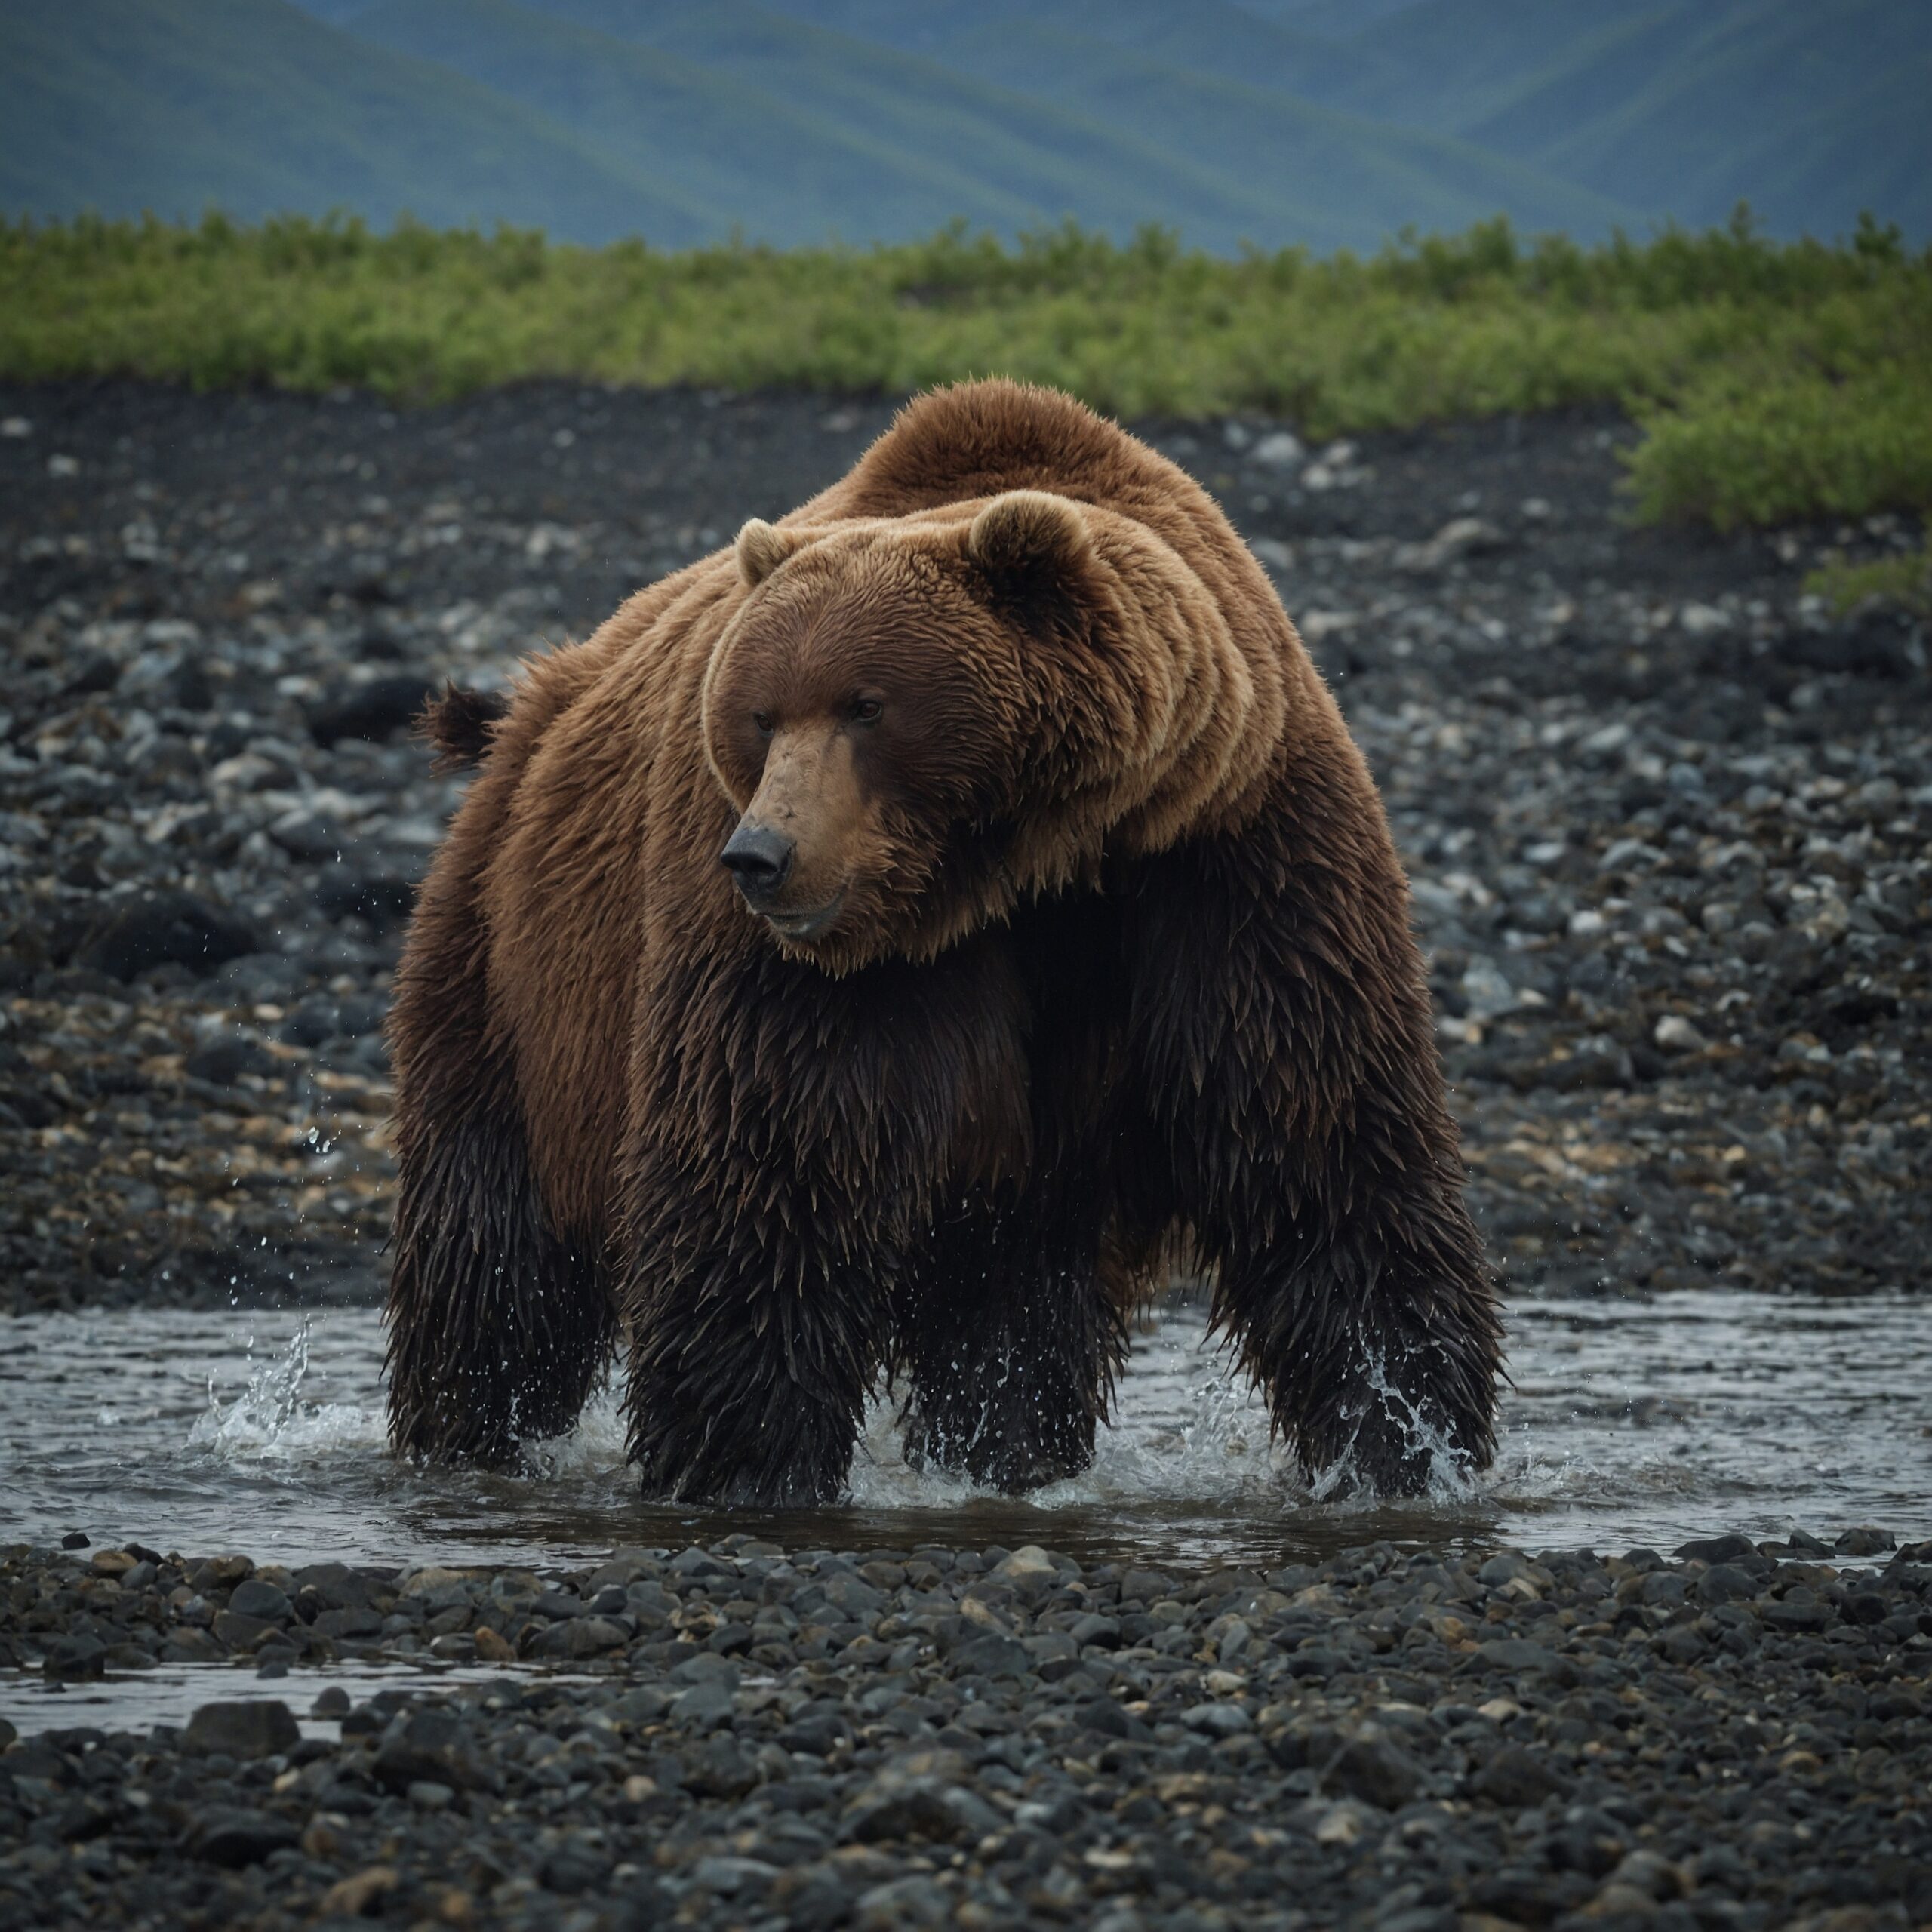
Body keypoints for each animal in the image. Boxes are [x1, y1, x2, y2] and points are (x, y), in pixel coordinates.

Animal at [385, 378, 1501, 1505]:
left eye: (866, 705)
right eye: (759, 713)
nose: (760, 856)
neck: (1037, 863)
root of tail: (521, 713)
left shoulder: (1230, 860)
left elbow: (1320, 1138)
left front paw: (1408, 1437)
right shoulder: (820, 963)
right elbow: (773, 1165)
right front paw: (746, 1457)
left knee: (1009, 1293)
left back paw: (1007, 1453)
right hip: (511, 969)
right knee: (496, 1251)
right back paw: (468, 1428)